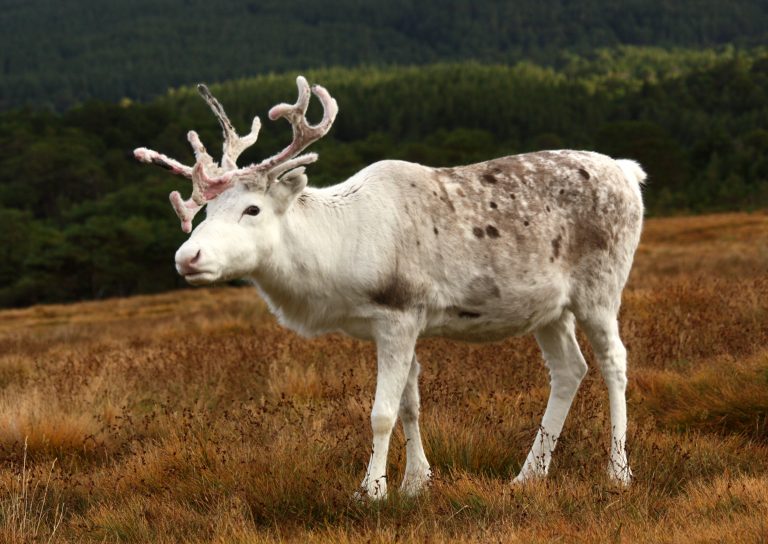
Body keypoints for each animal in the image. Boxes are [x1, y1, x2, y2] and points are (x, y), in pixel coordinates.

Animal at [134, 76, 645, 499]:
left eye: (253, 209)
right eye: (204, 211)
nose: (188, 257)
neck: (336, 269)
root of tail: (630, 172)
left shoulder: (401, 311)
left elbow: (381, 412)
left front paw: (372, 491)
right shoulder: (398, 324)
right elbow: (409, 405)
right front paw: (416, 483)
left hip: (602, 285)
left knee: (614, 362)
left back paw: (617, 471)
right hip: (548, 307)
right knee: (569, 368)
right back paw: (529, 475)